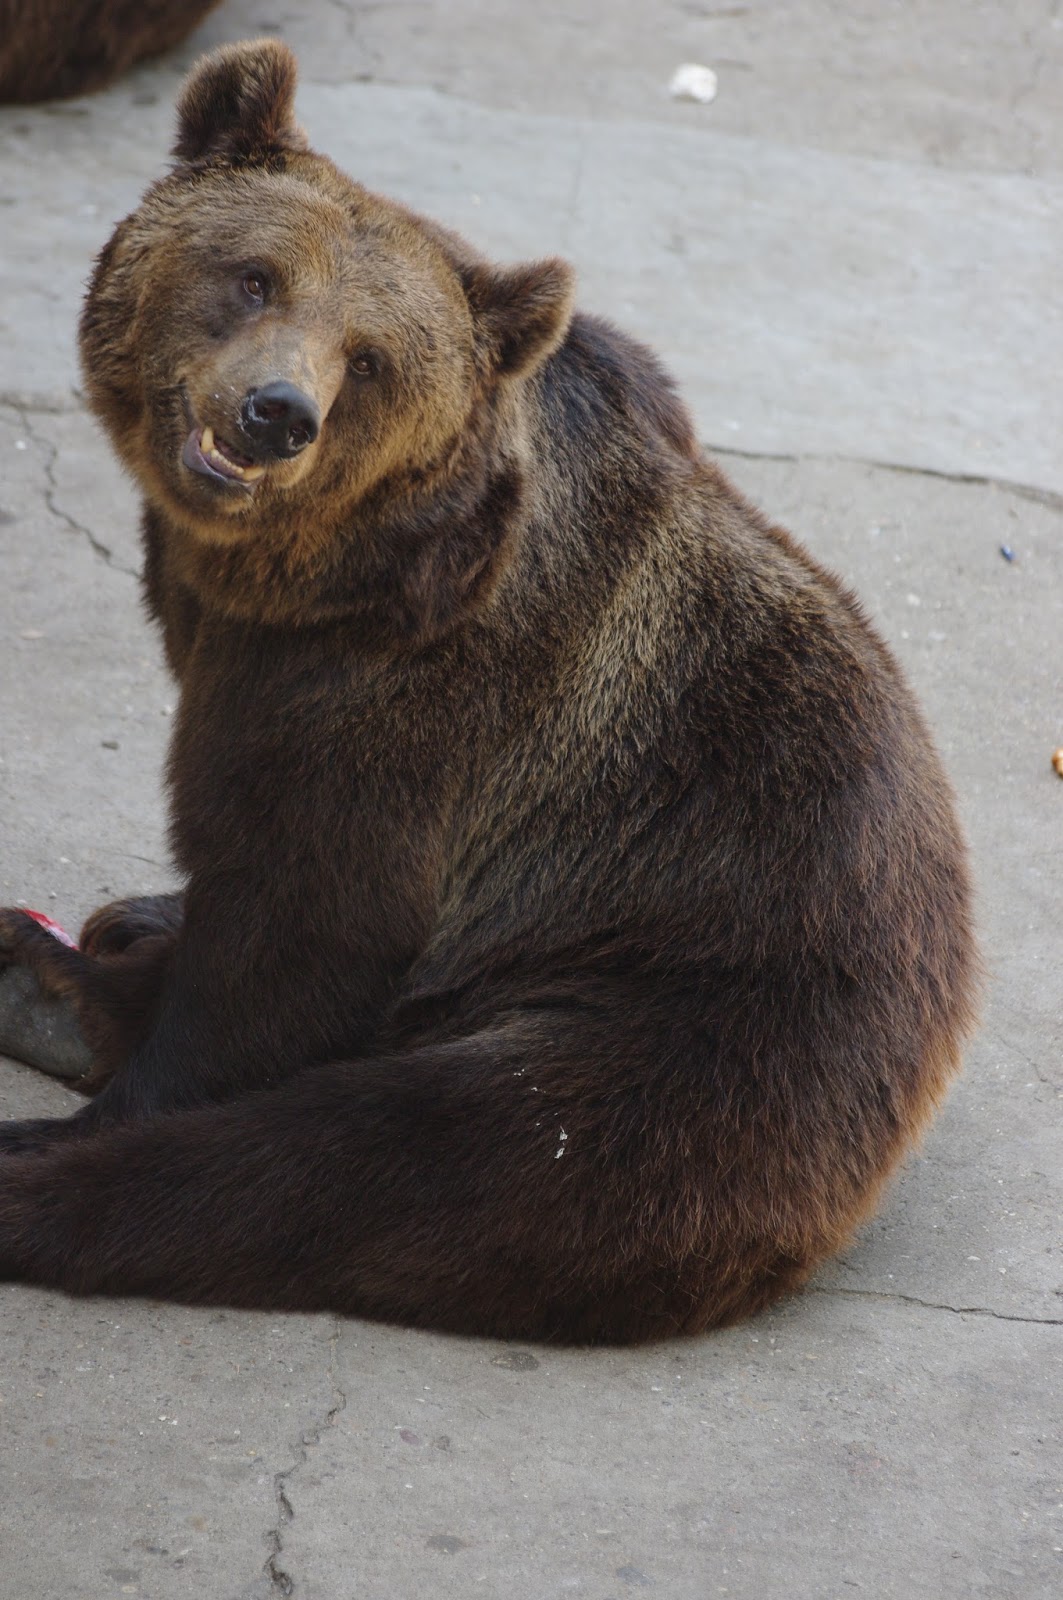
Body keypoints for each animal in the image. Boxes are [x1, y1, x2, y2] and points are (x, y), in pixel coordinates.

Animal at [0, 40, 978, 1343]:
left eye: (367, 357)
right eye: (254, 277)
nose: (275, 414)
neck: (297, 582)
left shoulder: (409, 710)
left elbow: (296, 932)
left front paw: (119, 1092)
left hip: (679, 1021)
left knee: (360, 1155)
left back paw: (33, 1161)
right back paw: (59, 962)